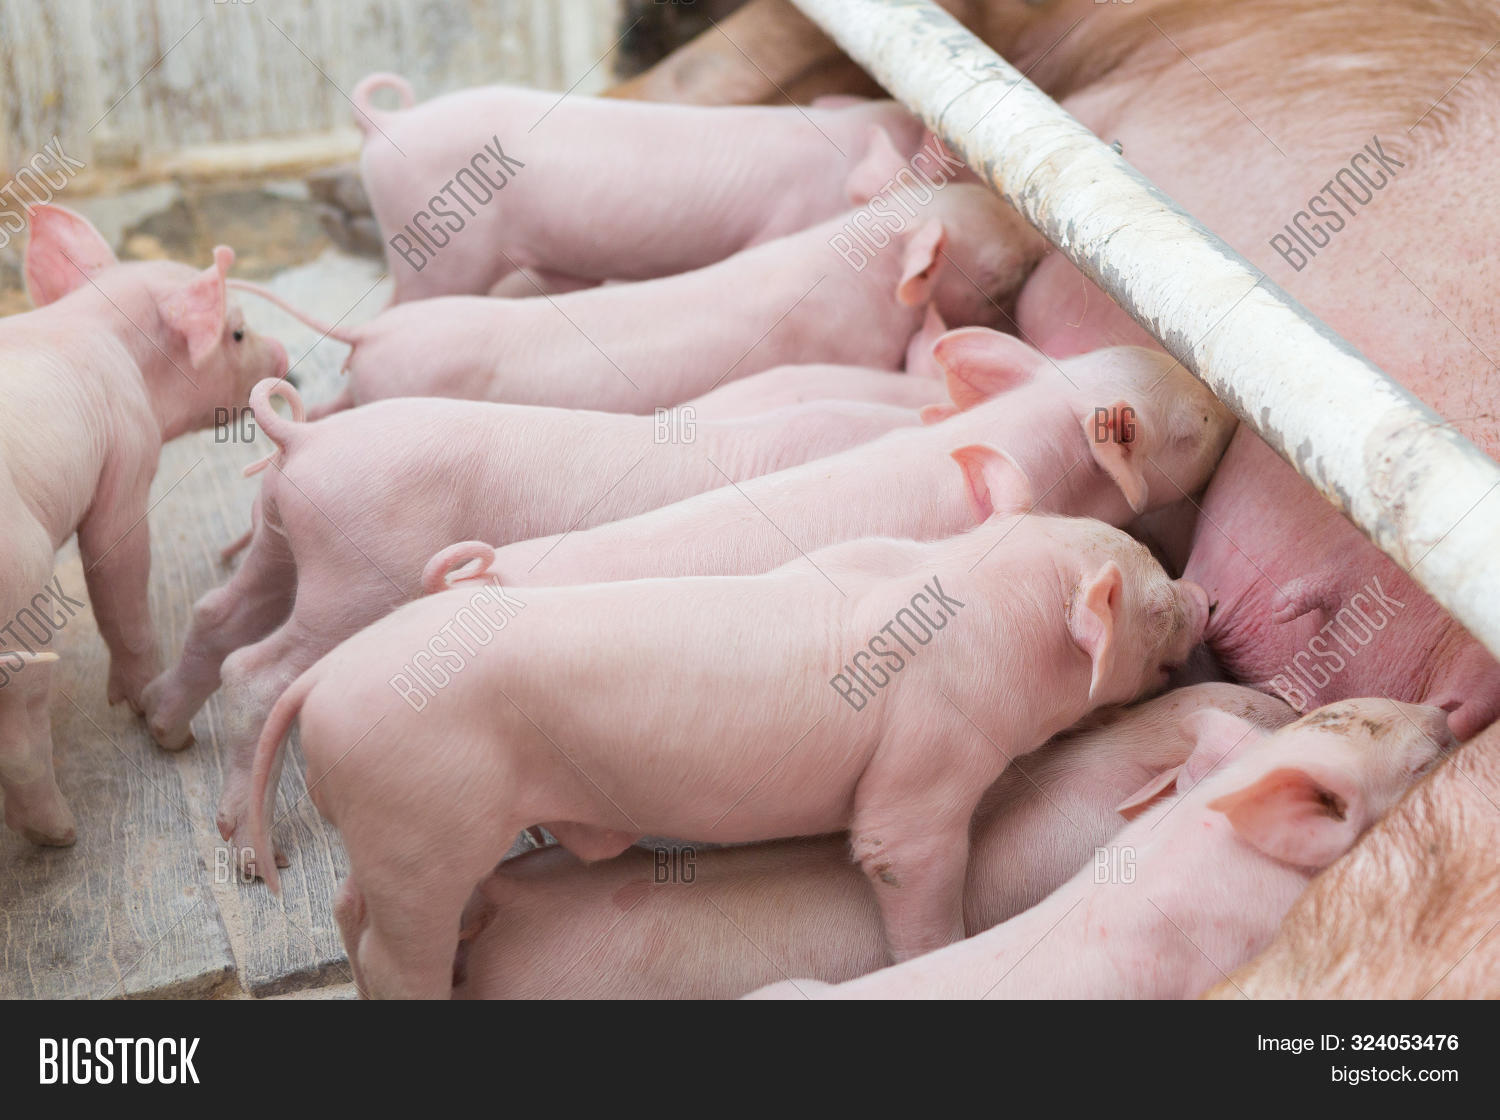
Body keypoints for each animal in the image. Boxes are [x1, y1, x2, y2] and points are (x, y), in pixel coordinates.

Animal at [0, 206, 288, 847]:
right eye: (237, 332)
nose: (284, 355)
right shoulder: (128, 450)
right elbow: (118, 570)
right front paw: (146, 711)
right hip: (21, 583)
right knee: (23, 730)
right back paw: (61, 834)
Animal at [140, 379, 920, 865]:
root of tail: (301, 440)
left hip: (284, 543)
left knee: (217, 615)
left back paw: (162, 728)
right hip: (353, 577)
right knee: (255, 673)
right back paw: (251, 852)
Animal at [249, 489, 1209, 998]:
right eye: (1157, 606)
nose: (1203, 597)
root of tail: (324, 680)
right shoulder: (929, 756)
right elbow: (902, 857)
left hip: (394, 834)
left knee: (352, 908)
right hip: (425, 821)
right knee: (392, 945)